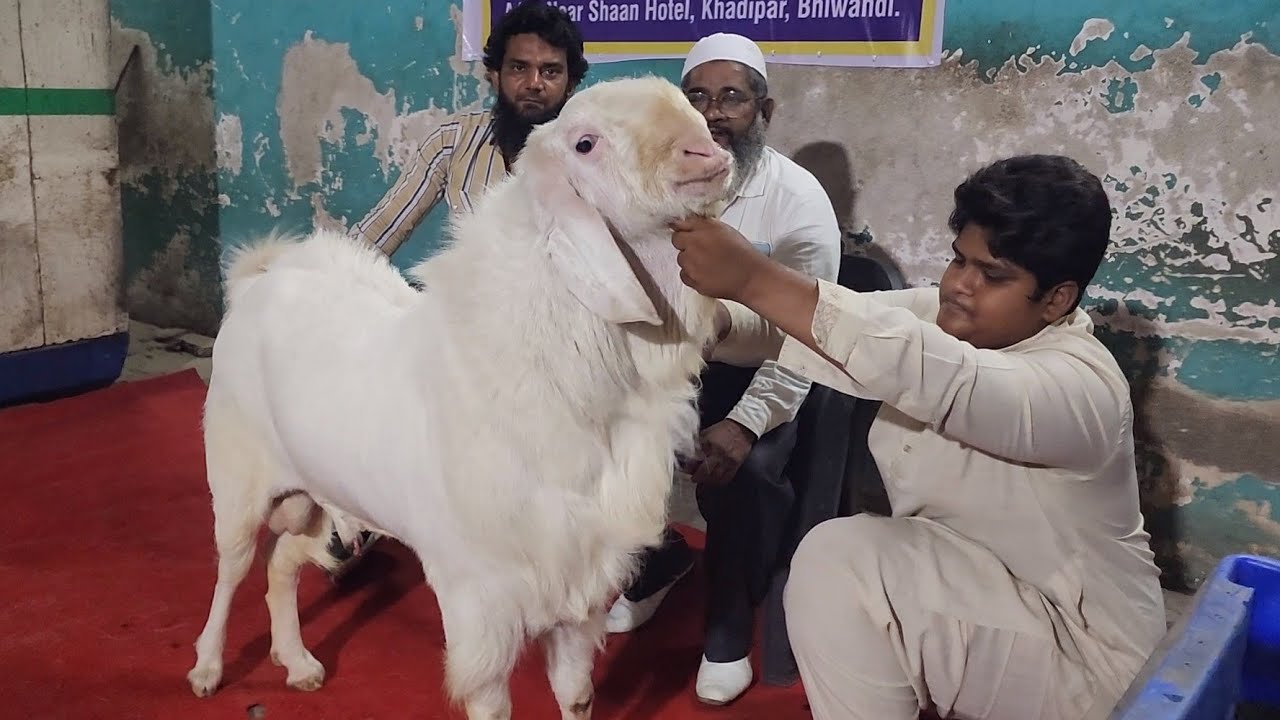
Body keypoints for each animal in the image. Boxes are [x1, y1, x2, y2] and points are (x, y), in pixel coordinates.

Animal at [185, 74, 735, 719]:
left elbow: (575, 695)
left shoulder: (582, 584)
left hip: (321, 503)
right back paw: (207, 668)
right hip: (237, 479)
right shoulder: (479, 599)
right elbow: (491, 704)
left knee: (283, 563)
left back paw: (298, 664)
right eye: (585, 144)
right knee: (232, 569)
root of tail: (261, 277)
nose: (708, 155)